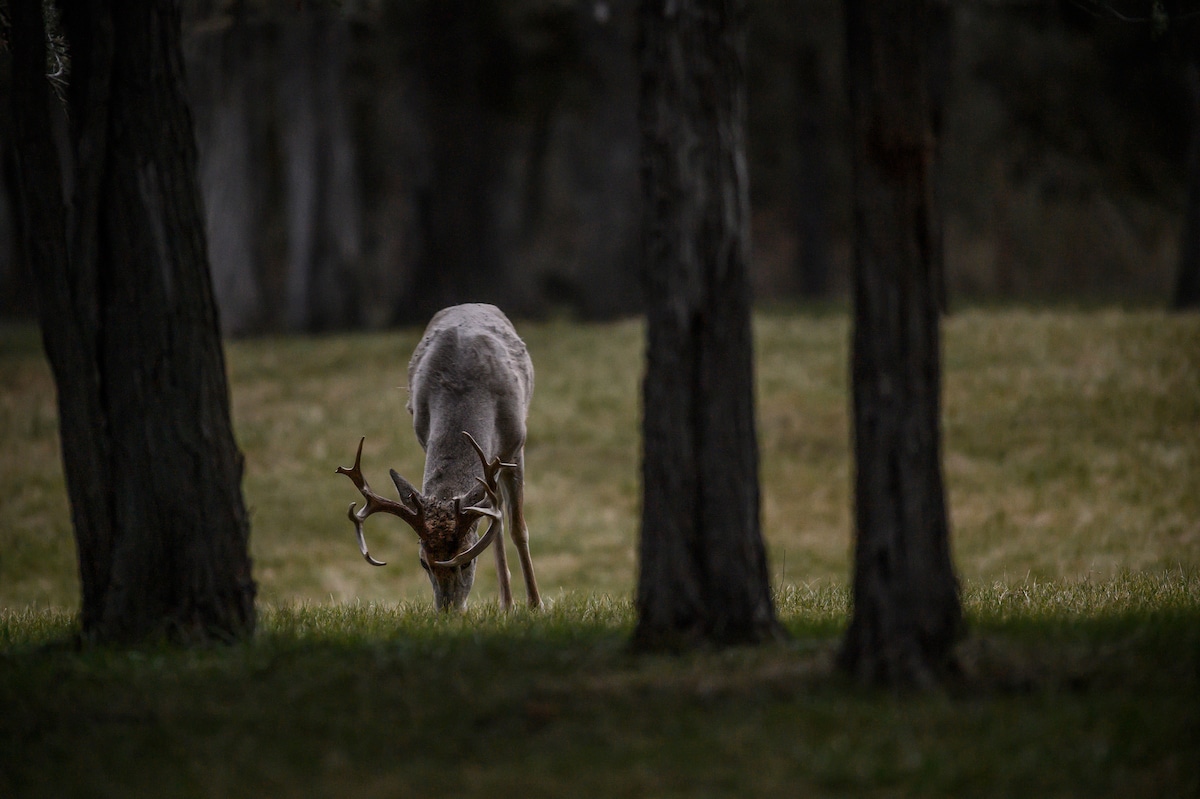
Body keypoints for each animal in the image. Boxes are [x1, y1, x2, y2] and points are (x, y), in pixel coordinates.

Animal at [336, 303, 542, 611]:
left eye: (466, 561)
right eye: (424, 563)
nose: (448, 611)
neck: (465, 387)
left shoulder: (516, 446)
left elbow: (519, 529)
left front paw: (536, 605)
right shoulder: (423, 433)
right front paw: (513, 604)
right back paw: (506, 604)